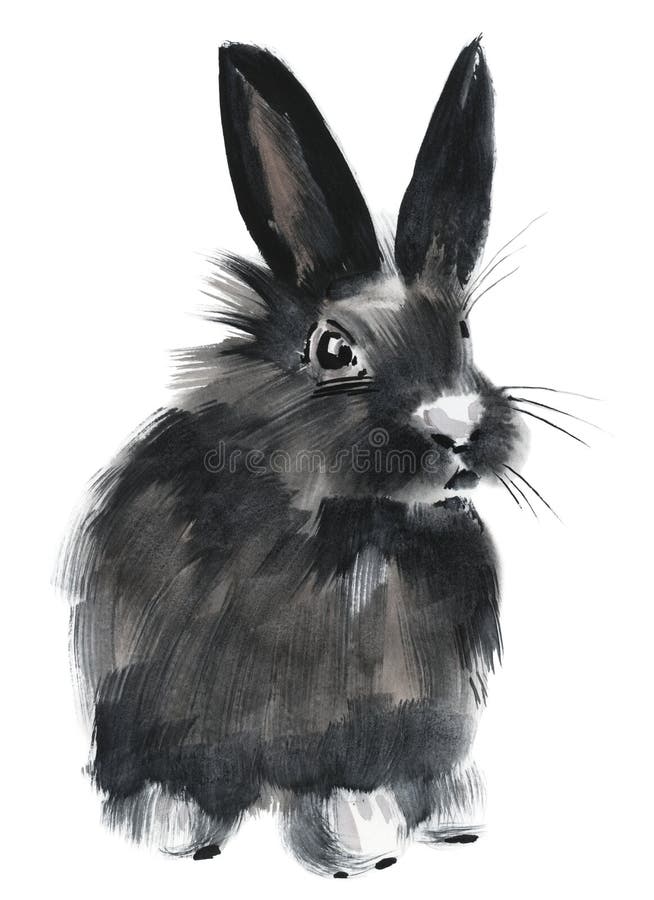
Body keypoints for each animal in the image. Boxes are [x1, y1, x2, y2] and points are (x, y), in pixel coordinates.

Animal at [61, 37, 529, 876]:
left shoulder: (399, 711)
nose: (456, 425)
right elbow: (201, 770)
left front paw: (362, 835)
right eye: (333, 349)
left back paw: (451, 816)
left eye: (465, 331)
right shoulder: (176, 701)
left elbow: (357, 773)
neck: (351, 528)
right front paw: (178, 827)